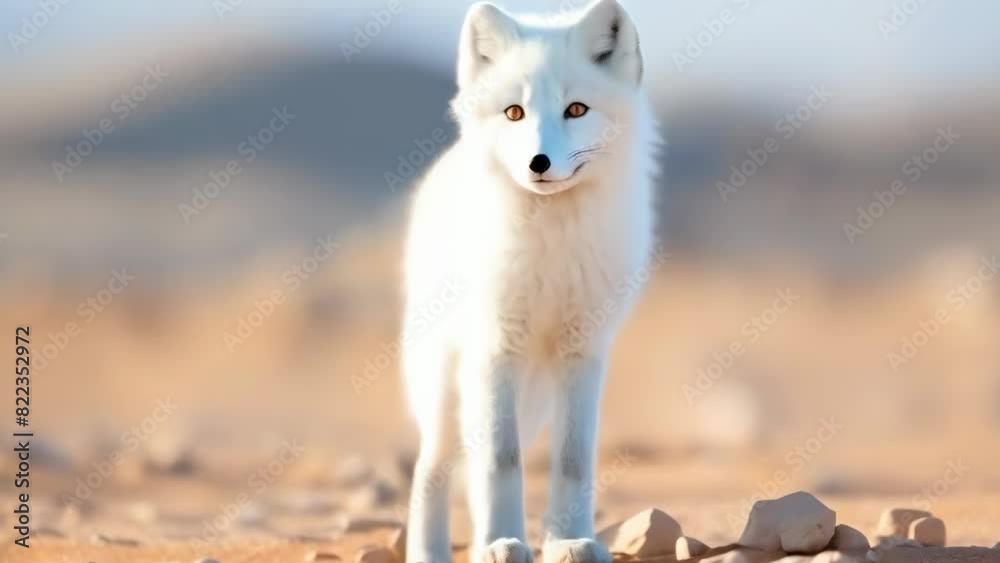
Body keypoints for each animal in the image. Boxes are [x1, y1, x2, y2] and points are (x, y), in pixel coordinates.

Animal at [400, 1, 660, 562]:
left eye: (577, 109)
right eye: (514, 112)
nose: (537, 162)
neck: (551, 247)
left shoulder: (583, 353)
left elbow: (572, 462)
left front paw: (569, 540)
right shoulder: (497, 348)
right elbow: (502, 461)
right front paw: (502, 541)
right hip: (448, 386)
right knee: (431, 470)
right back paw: (433, 551)